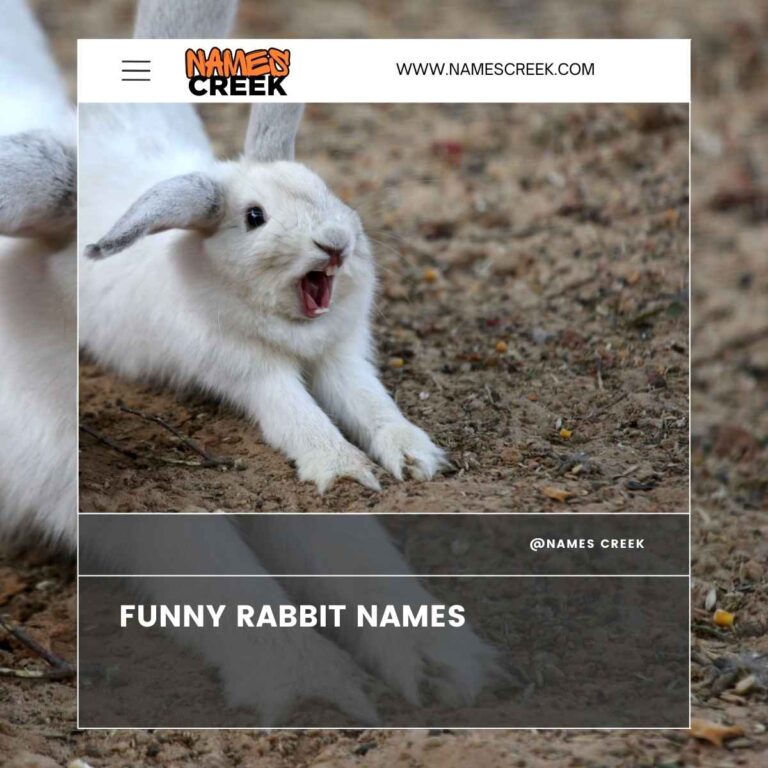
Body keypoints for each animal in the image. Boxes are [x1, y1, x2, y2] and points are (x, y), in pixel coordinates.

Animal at [80, 107, 447, 494]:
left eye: (323, 188)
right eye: (254, 217)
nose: (335, 241)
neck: (298, 327)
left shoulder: (341, 358)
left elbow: (371, 402)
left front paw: (416, 457)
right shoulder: (256, 373)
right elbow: (301, 417)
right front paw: (345, 471)